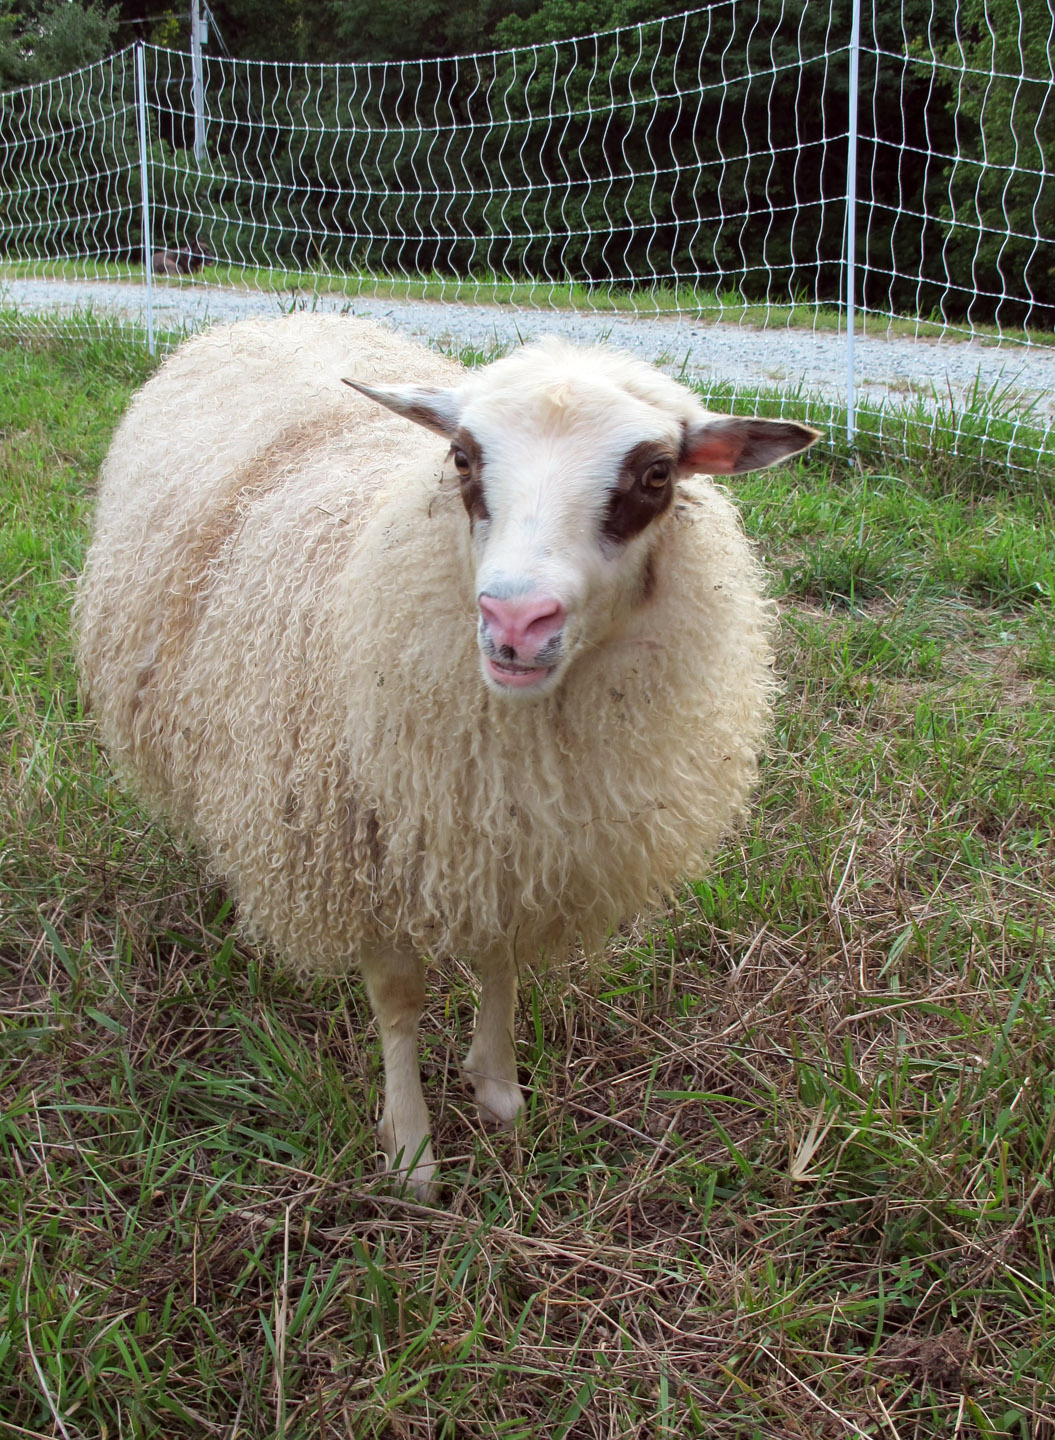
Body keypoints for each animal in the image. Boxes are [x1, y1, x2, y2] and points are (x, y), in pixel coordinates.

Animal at [76, 313, 818, 1199]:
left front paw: (496, 1086)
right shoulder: (361, 842)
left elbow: (499, 961)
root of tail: (281, 313)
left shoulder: (507, 841)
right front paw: (410, 1150)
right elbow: (398, 1001)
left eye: (657, 473)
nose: (516, 621)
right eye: (463, 459)